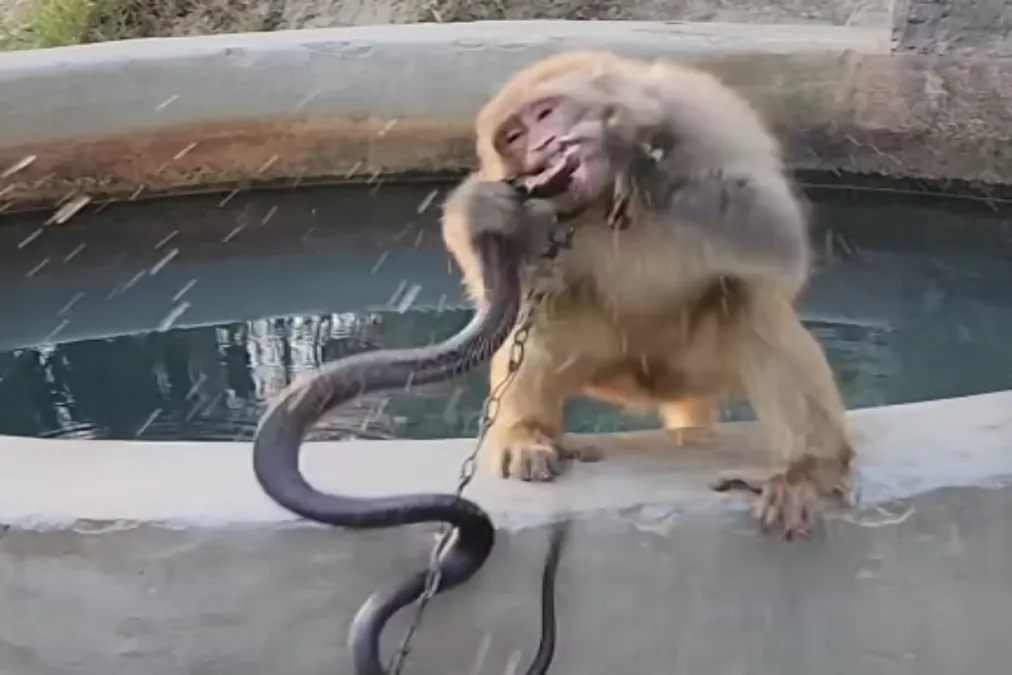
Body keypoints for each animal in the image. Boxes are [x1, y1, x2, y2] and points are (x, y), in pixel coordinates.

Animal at [440, 50, 853, 540]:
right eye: (514, 137)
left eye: (545, 114)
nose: (544, 146)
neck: (598, 199)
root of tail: (654, 386)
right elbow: (501, 299)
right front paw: (482, 212)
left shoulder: (704, 114)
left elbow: (778, 238)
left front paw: (623, 146)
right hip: (604, 363)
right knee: (541, 311)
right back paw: (527, 433)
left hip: (699, 364)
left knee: (750, 303)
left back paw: (809, 468)